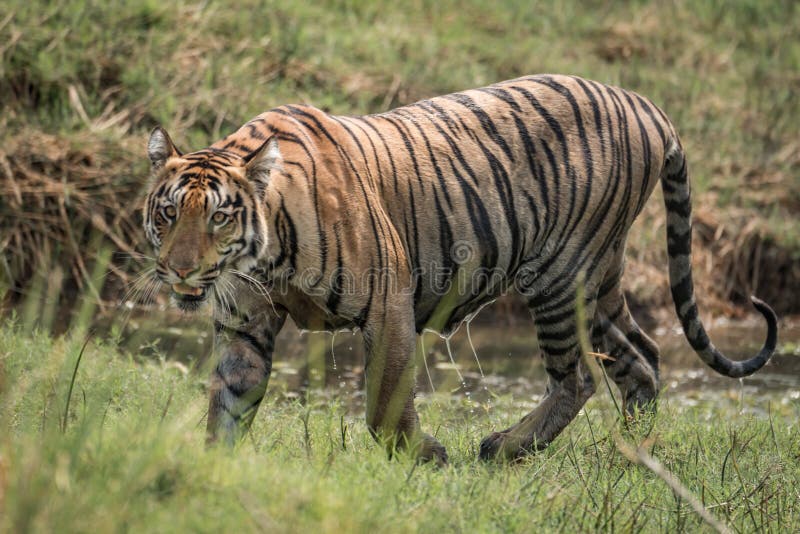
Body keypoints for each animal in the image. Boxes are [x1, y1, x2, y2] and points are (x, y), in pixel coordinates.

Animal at [142, 74, 777, 463]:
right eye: (169, 213)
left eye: (219, 217)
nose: (179, 272)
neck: (266, 257)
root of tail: (647, 105)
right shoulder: (244, 322)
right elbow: (227, 403)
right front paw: (215, 470)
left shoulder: (388, 300)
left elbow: (385, 400)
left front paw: (423, 457)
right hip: (600, 279)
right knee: (641, 358)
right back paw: (634, 453)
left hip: (559, 273)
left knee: (578, 376)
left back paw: (503, 448)